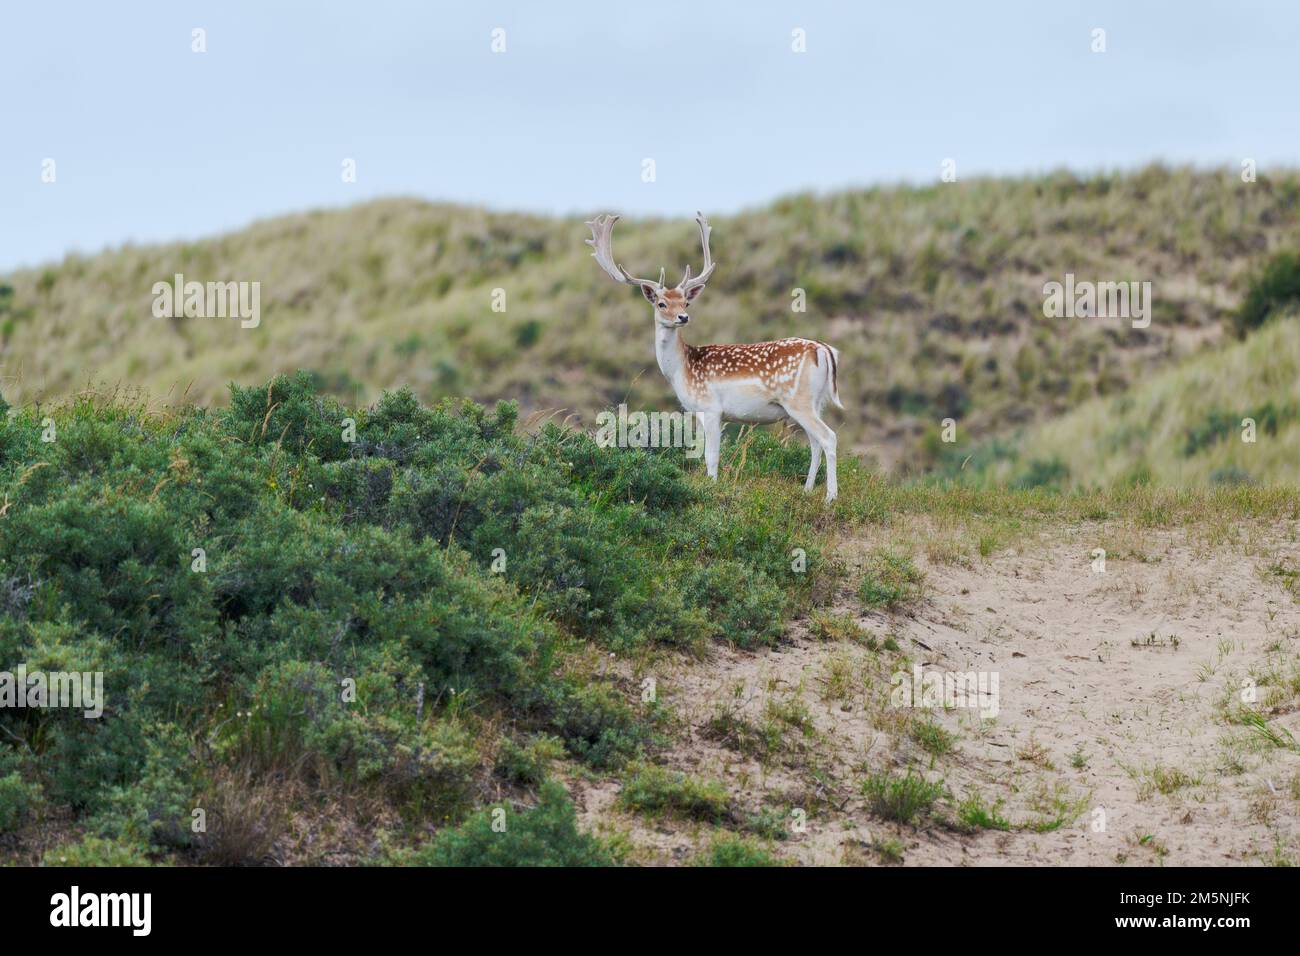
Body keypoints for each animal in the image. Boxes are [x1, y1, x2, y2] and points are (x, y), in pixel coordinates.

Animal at [585, 212, 844, 501]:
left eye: (685, 302)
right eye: (662, 303)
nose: (683, 317)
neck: (682, 369)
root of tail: (824, 350)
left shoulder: (710, 408)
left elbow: (711, 457)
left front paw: (711, 487)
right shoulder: (701, 412)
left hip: (798, 400)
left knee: (828, 437)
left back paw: (831, 497)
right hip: (817, 402)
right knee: (815, 442)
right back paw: (808, 490)